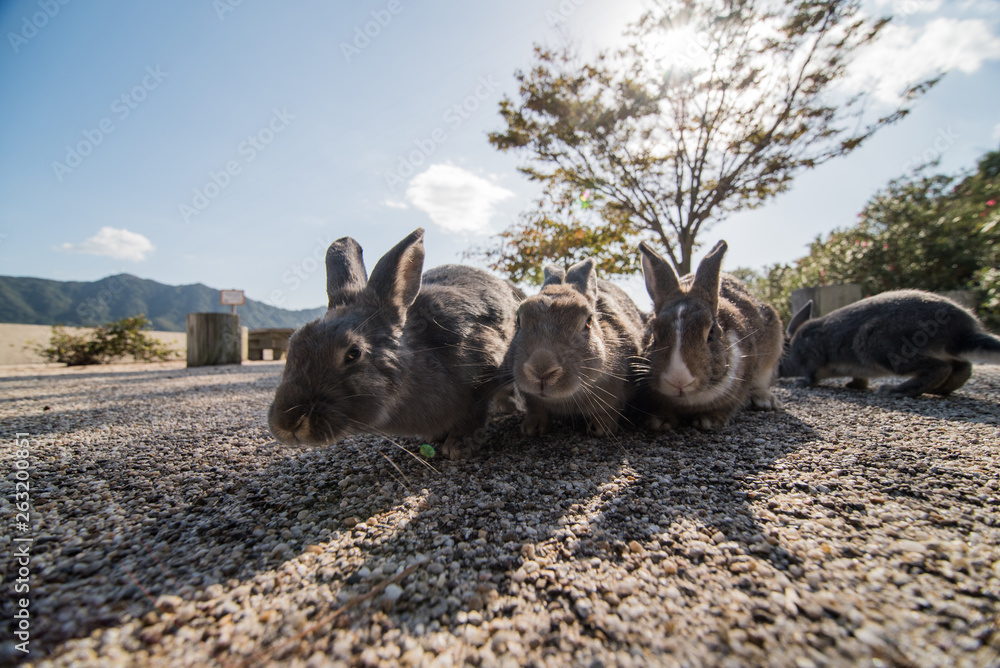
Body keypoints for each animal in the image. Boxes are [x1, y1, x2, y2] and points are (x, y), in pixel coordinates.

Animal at [267, 228, 521, 459]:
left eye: (354, 353)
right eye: (294, 342)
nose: (287, 424)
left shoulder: (482, 377)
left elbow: (473, 416)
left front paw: (459, 446)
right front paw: (434, 438)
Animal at [505, 258, 646, 436]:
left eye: (588, 321)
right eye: (518, 319)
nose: (541, 371)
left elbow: (609, 410)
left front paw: (600, 428)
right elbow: (537, 409)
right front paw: (532, 427)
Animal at [634, 240, 784, 430]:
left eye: (711, 333)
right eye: (654, 333)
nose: (678, 381)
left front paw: (709, 420)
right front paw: (659, 421)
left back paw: (765, 400)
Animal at [779, 289, 1000, 396]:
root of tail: (962, 331)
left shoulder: (812, 359)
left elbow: (812, 375)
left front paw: (801, 383)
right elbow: (859, 378)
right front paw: (854, 385)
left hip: (880, 347)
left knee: (940, 368)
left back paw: (895, 390)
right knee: (963, 367)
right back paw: (939, 390)